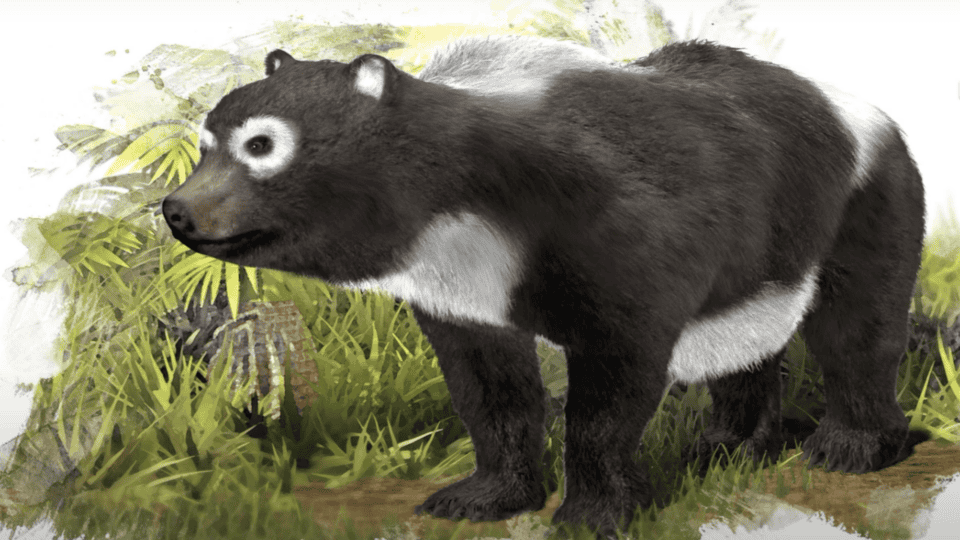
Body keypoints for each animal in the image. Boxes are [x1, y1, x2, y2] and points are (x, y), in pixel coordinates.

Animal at [162, 35, 927, 536]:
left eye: (263, 145)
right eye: (205, 143)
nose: (177, 210)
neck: (470, 192)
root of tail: (865, 110)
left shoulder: (618, 230)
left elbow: (614, 377)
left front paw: (593, 512)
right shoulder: (464, 281)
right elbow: (488, 386)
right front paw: (482, 496)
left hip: (864, 198)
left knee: (856, 326)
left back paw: (852, 446)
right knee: (746, 339)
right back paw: (730, 444)